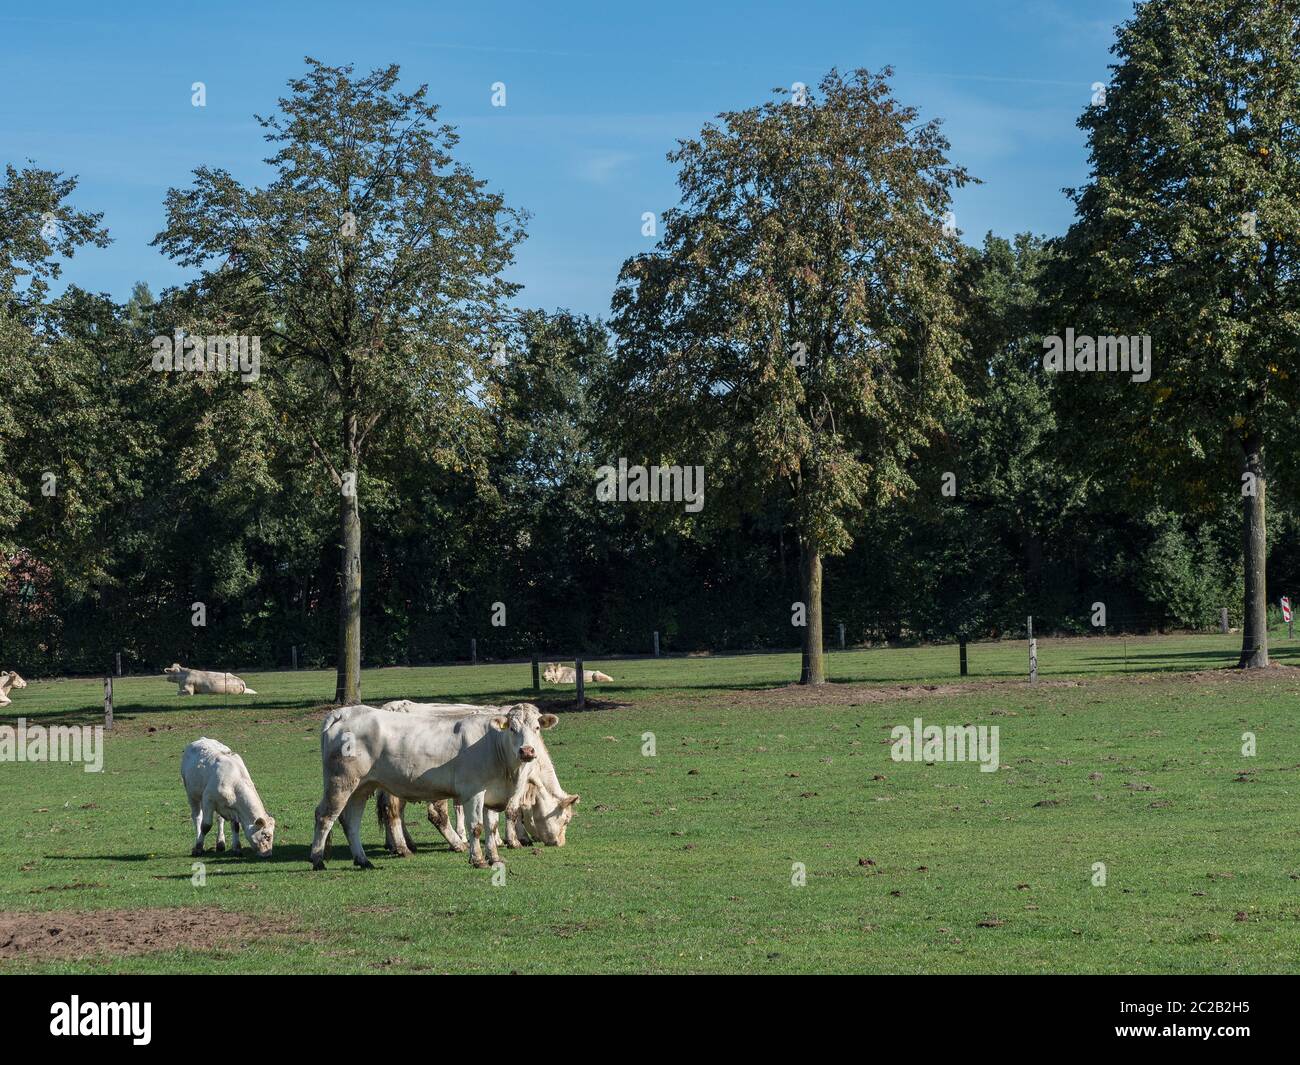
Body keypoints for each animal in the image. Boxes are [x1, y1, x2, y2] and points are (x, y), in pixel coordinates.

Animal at [311, 701, 558, 870]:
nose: (527, 751)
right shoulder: (474, 791)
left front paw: (495, 857)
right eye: (512, 729)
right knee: (325, 816)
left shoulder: (492, 793)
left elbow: (492, 827)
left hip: (362, 786)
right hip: (340, 782)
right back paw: (318, 859)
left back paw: (363, 860)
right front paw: (477, 859)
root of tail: (343, 712)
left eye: (537, 727)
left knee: (351, 821)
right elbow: (476, 827)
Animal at [374, 699, 578, 855]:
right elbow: (513, 810)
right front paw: (516, 839)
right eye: (566, 819)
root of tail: (390, 706)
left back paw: (397, 844)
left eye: (537, 727)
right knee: (412, 811)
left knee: (392, 810)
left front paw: (497, 839)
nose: (560, 842)